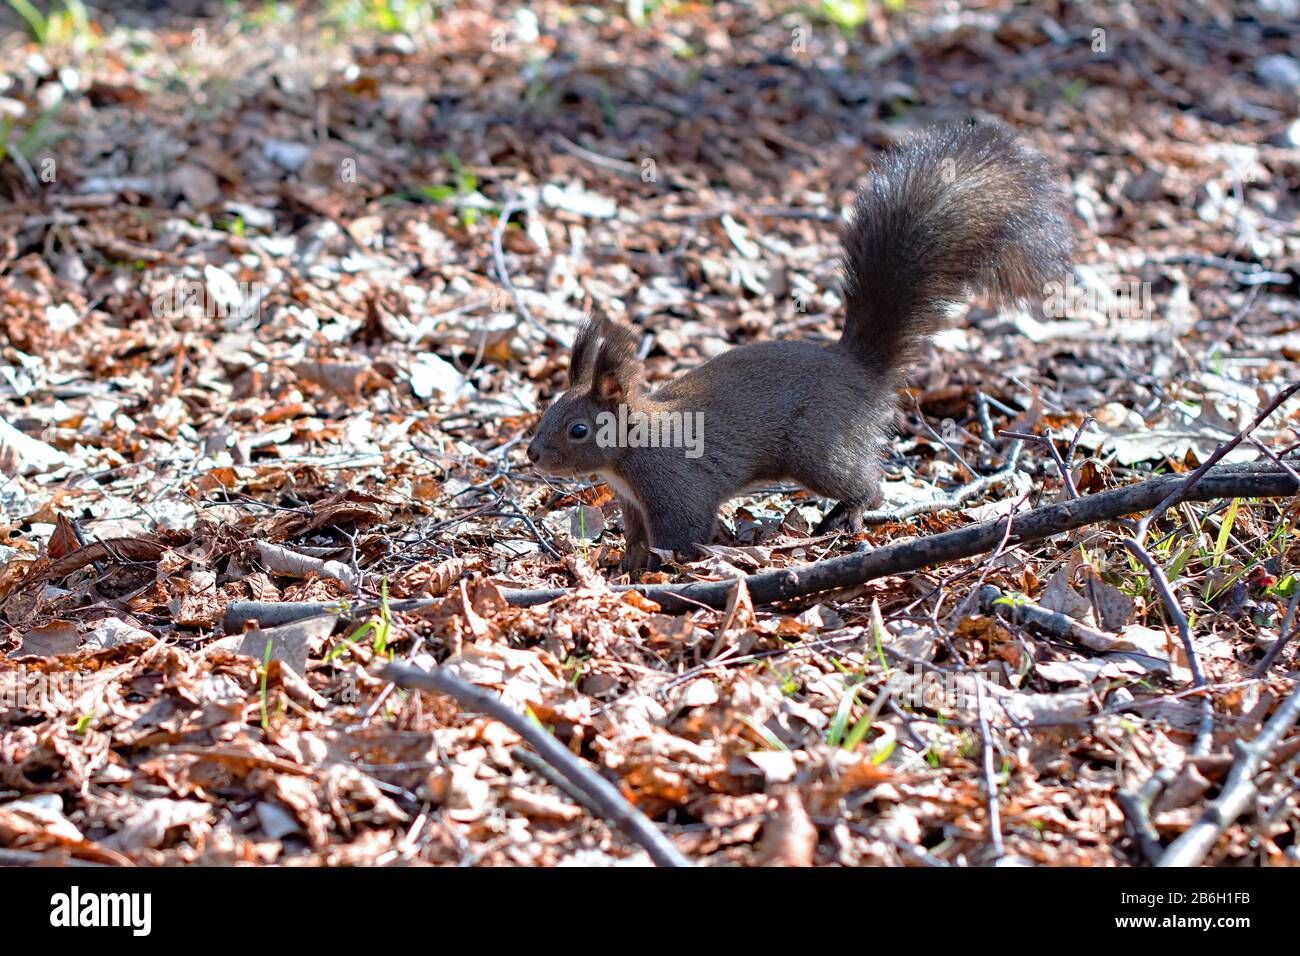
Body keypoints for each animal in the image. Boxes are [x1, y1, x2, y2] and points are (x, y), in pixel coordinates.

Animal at [527, 120, 1074, 569]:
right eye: (548, 410)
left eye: (578, 430)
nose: (532, 455)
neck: (632, 449)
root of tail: (860, 368)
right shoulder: (634, 504)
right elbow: (639, 542)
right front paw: (624, 568)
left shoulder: (677, 487)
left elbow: (681, 536)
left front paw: (661, 573)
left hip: (819, 448)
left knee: (866, 485)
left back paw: (846, 516)